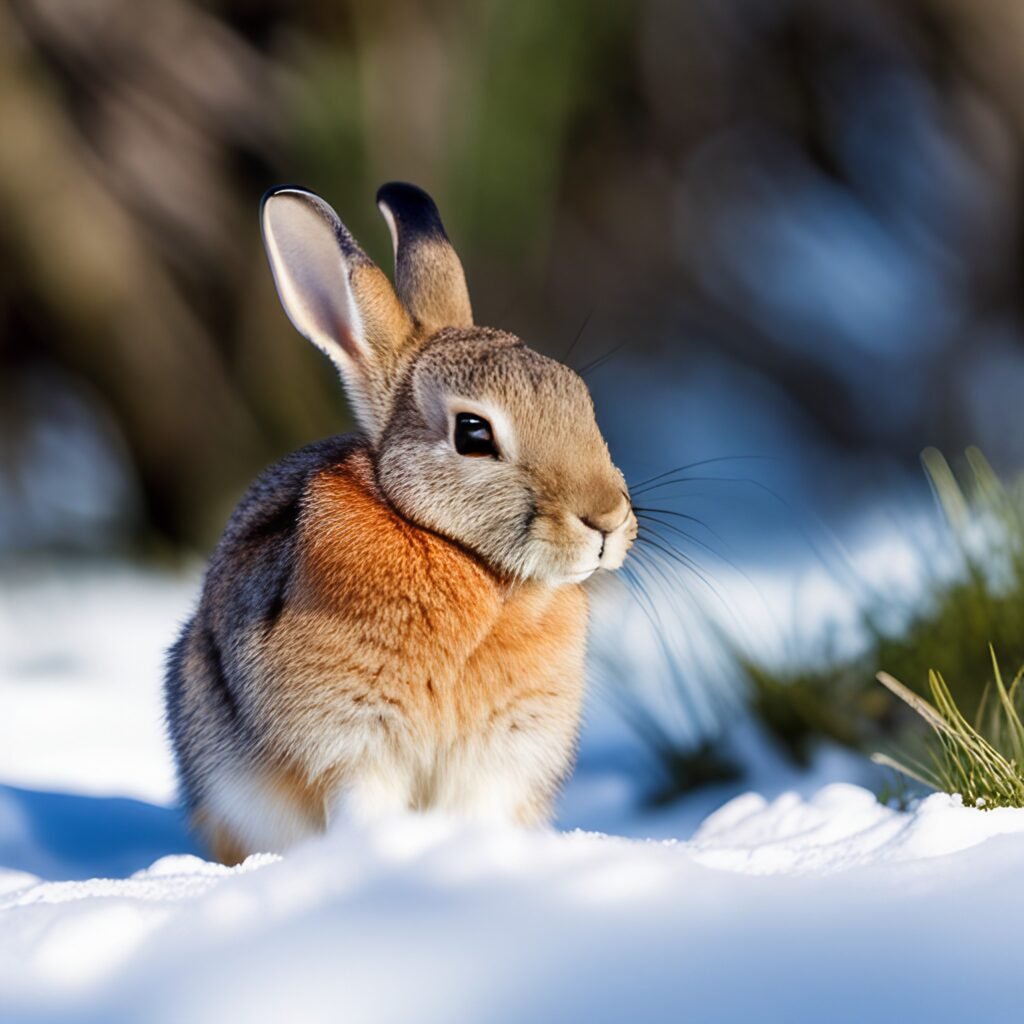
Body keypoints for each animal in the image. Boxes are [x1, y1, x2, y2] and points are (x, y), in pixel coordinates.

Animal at [165, 182, 636, 864]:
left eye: (580, 399)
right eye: (474, 434)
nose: (606, 520)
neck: (465, 559)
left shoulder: (502, 754)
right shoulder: (354, 741)